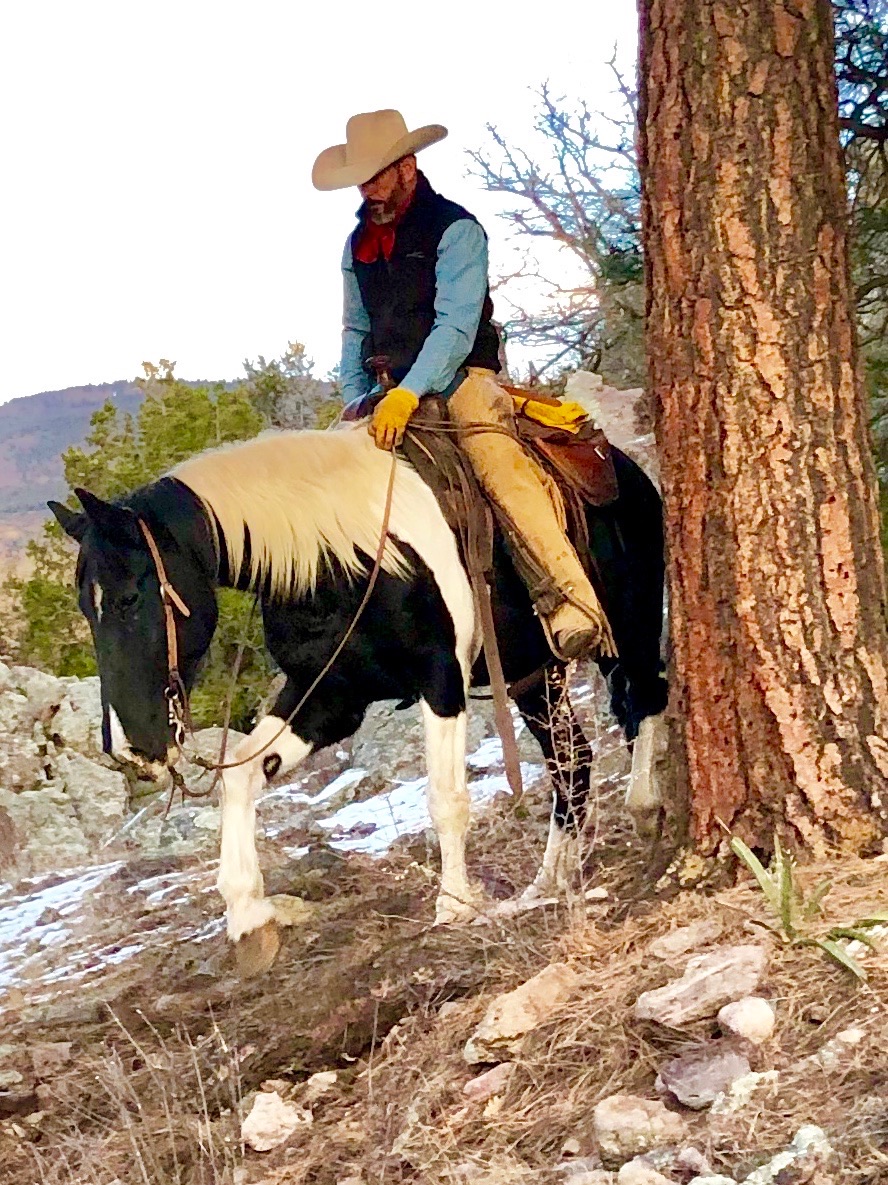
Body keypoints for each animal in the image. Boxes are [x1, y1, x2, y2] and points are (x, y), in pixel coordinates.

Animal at [50, 424, 667, 957]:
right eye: (84, 605)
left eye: (129, 599)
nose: (128, 748)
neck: (341, 557)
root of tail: (623, 465)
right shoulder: (328, 694)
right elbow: (244, 773)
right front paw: (247, 912)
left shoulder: (440, 679)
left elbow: (446, 796)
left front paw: (454, 904)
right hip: (534, 678)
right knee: (574, 762)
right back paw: (547, 882)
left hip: (625, 625)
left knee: (645, 699)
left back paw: (644, 808)